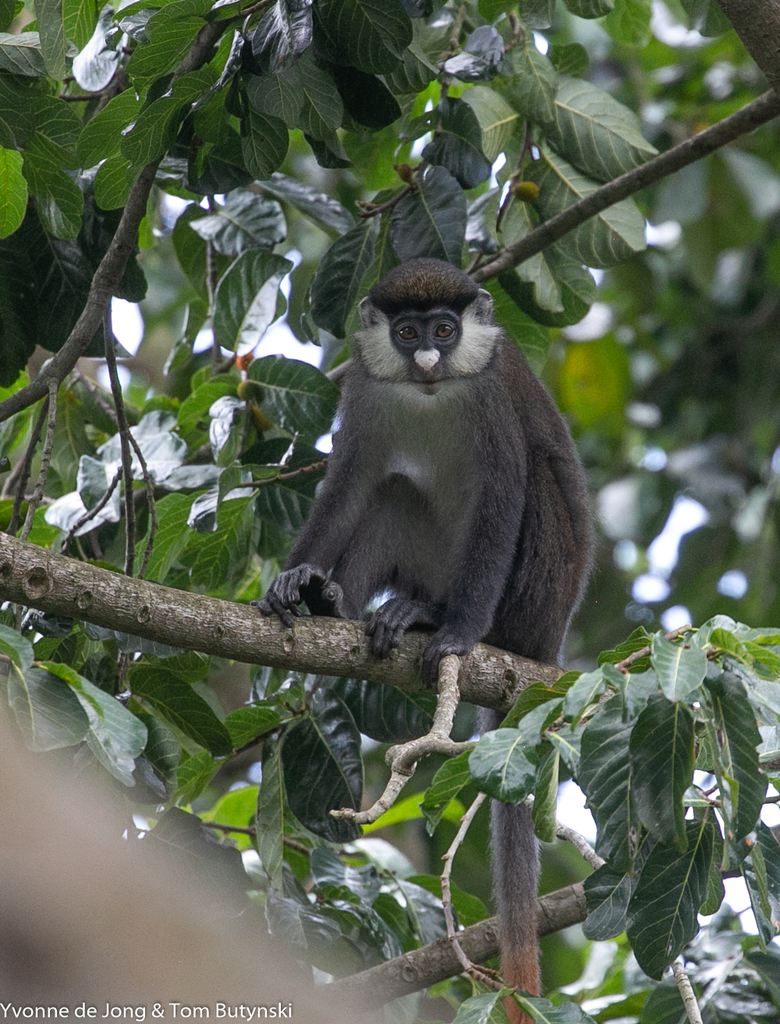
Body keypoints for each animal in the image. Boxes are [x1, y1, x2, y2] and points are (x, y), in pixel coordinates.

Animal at [256, 257, 593, 1021]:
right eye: (407, 334)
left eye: (445, 329)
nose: (429, 360)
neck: (434, 396)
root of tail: (547, 646)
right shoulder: (365, 392)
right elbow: (350, 486)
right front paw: (294, 581)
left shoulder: (491, 399)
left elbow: (505, 494)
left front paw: (460, 635)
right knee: (392, 493)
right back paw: (336, 603)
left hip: (536, 593)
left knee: (533, 485)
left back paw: (438, 621)